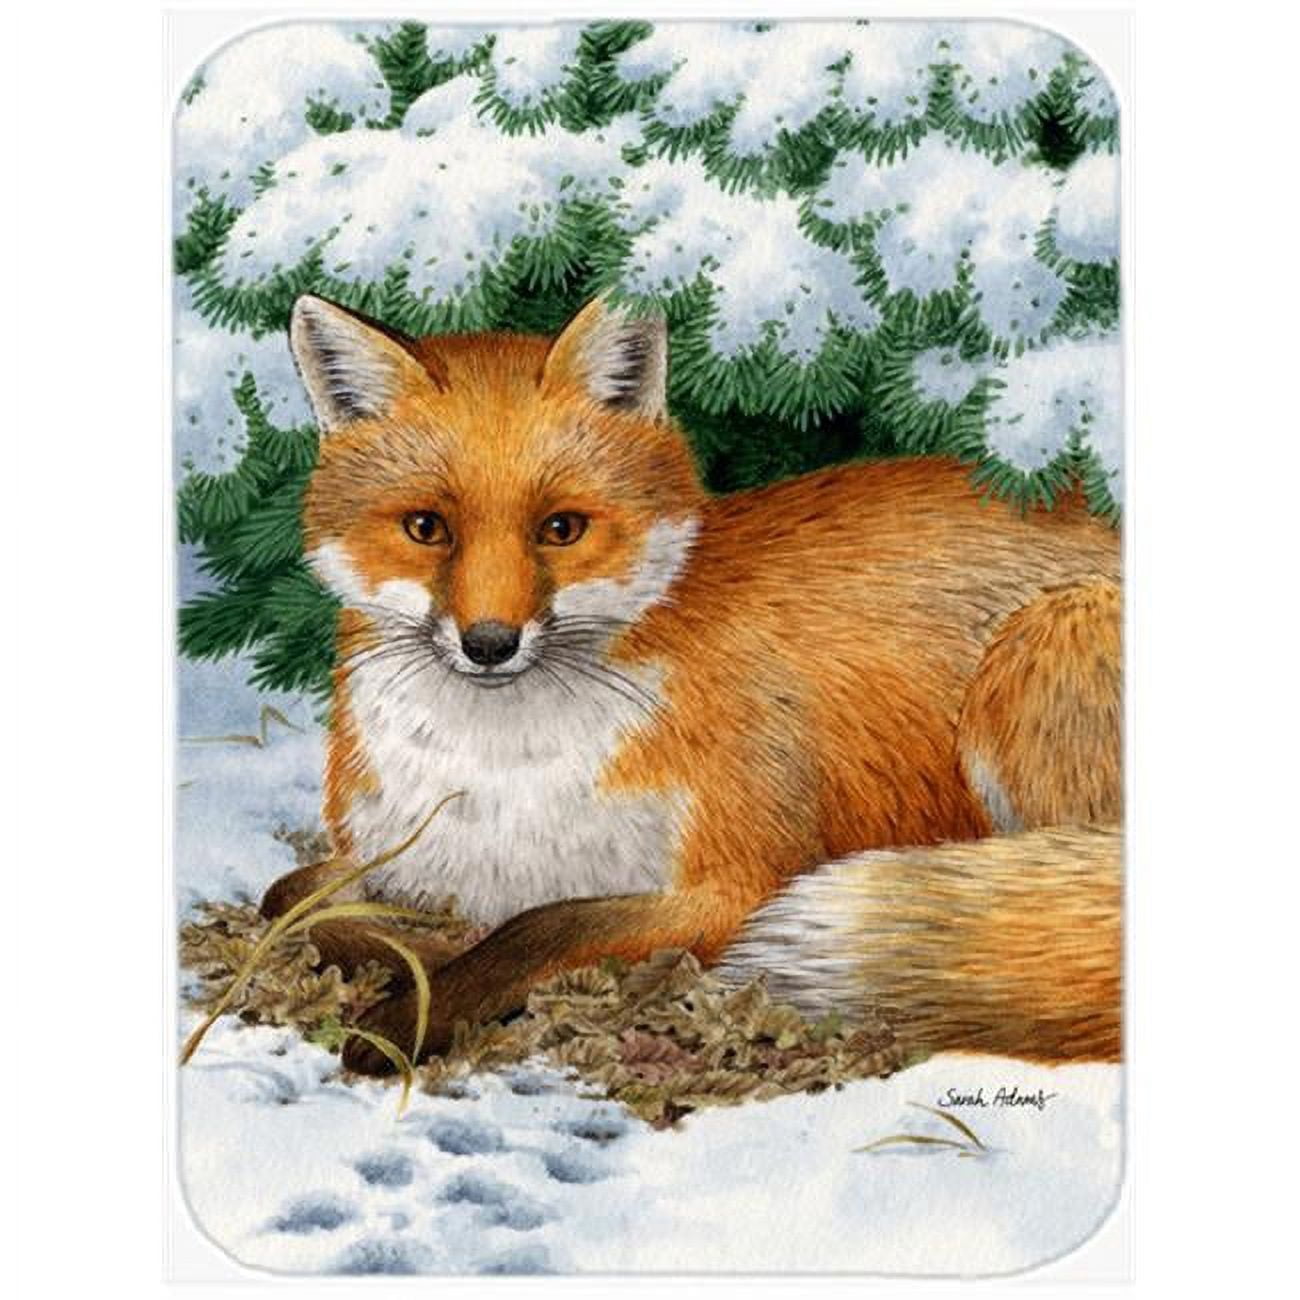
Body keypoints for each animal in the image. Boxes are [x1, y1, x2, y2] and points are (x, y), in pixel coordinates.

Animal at [260, 293, 1123, 1075]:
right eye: (426, 529)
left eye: (561, 529)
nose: (490, 645)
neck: (503, 779)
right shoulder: (394, 853)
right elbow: (289, 902)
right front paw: (418, 944)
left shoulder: (739, 887)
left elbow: (539, 929)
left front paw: (407, 1017)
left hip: (1041, 645)